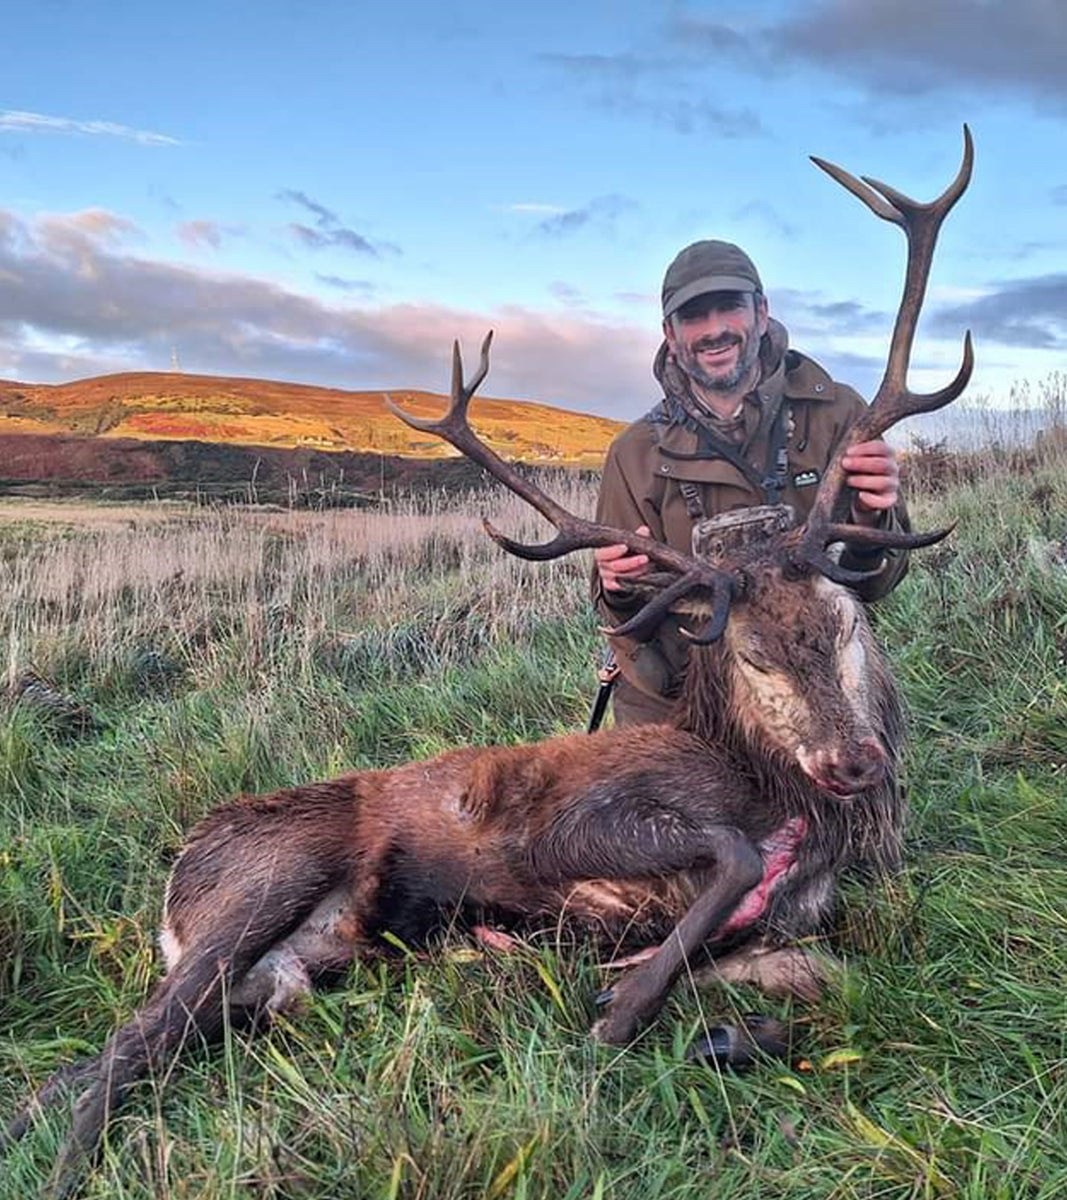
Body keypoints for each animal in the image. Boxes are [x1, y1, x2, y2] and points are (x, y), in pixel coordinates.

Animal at [3, 130, 973, 1198]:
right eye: (751, 650)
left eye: (842, 622)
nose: (854, 762)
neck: (771, 791)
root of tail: (172, 888)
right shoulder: (575, 827)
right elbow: (728, 857)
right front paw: (616, 1009)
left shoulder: (788, 925)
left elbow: (814, 974)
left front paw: (695, 1019)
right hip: (261, 884)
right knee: (106, 1060)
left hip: (287, 968)